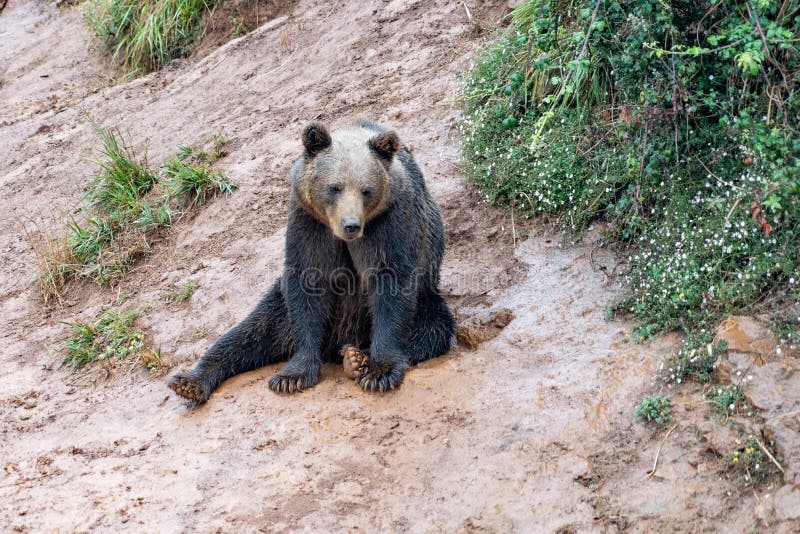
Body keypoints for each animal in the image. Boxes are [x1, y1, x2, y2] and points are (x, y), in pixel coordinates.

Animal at [168, 120, 455, 401]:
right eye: (334, 187)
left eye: (366, 190)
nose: (351, 225)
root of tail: (337, 342)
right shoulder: (309, 222)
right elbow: (308, 284)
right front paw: (291, 376)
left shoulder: (389, 222)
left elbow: (390, 279)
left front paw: (380, 372)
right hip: (280, 307)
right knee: (250, 331)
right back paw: (189, 381)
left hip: (427, 297)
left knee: (431, 329)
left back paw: (357, 358)